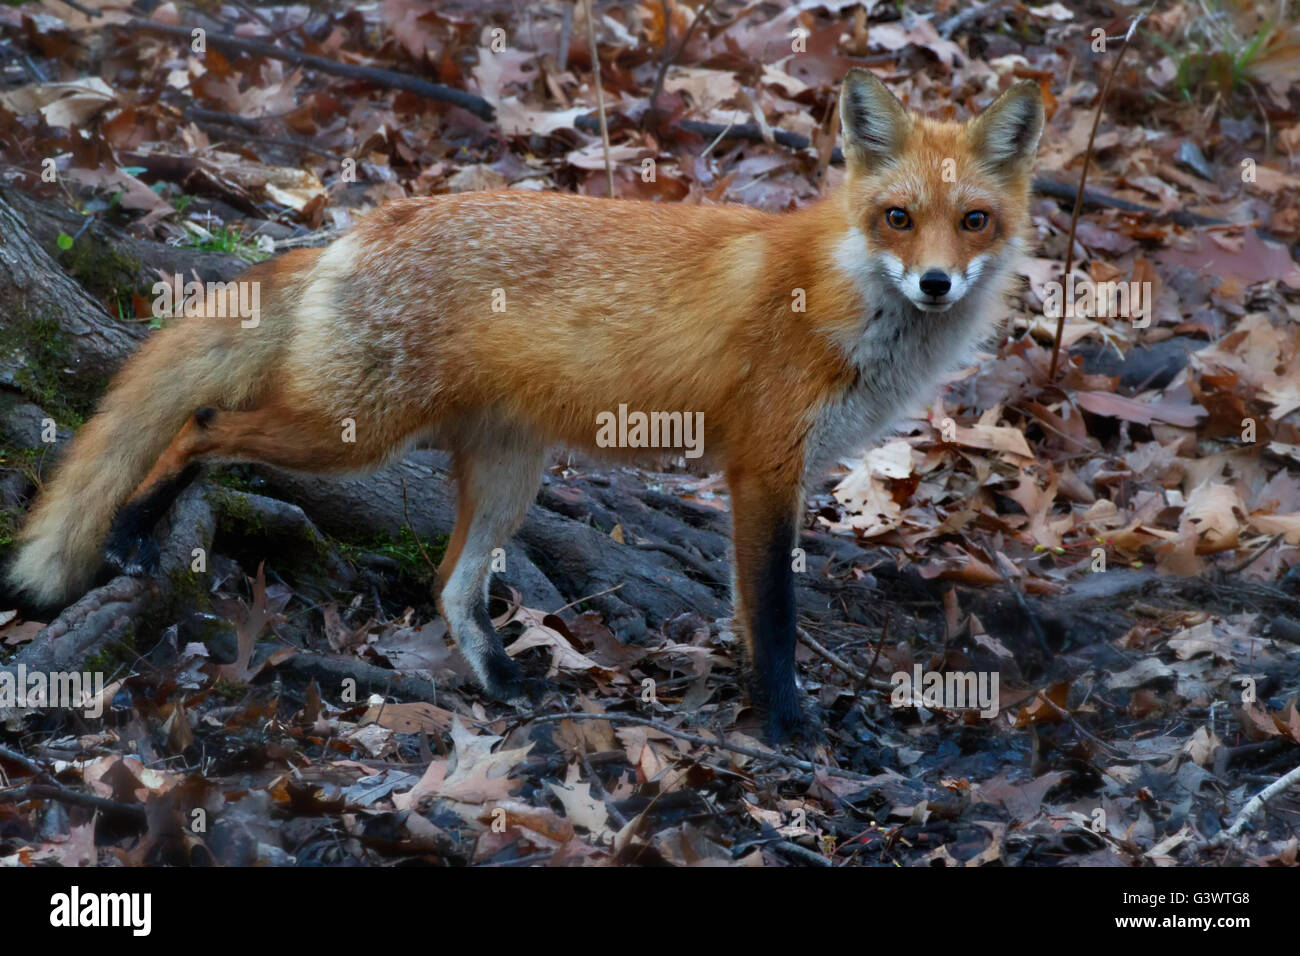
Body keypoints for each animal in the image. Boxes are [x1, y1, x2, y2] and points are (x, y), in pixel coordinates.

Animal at [6, 70, 1043, 741]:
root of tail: (358, 229)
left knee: (448, 584)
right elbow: (776, 619)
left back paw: (501, 683)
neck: (842, 294)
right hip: (351, 432)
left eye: (974, 221)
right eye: (897, 219)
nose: (939, 284)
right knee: (203, 426)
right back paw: (133, 525)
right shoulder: (762, 466)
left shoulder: (774, 473)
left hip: (508, 472)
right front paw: (790, 726)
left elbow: (754, 617)